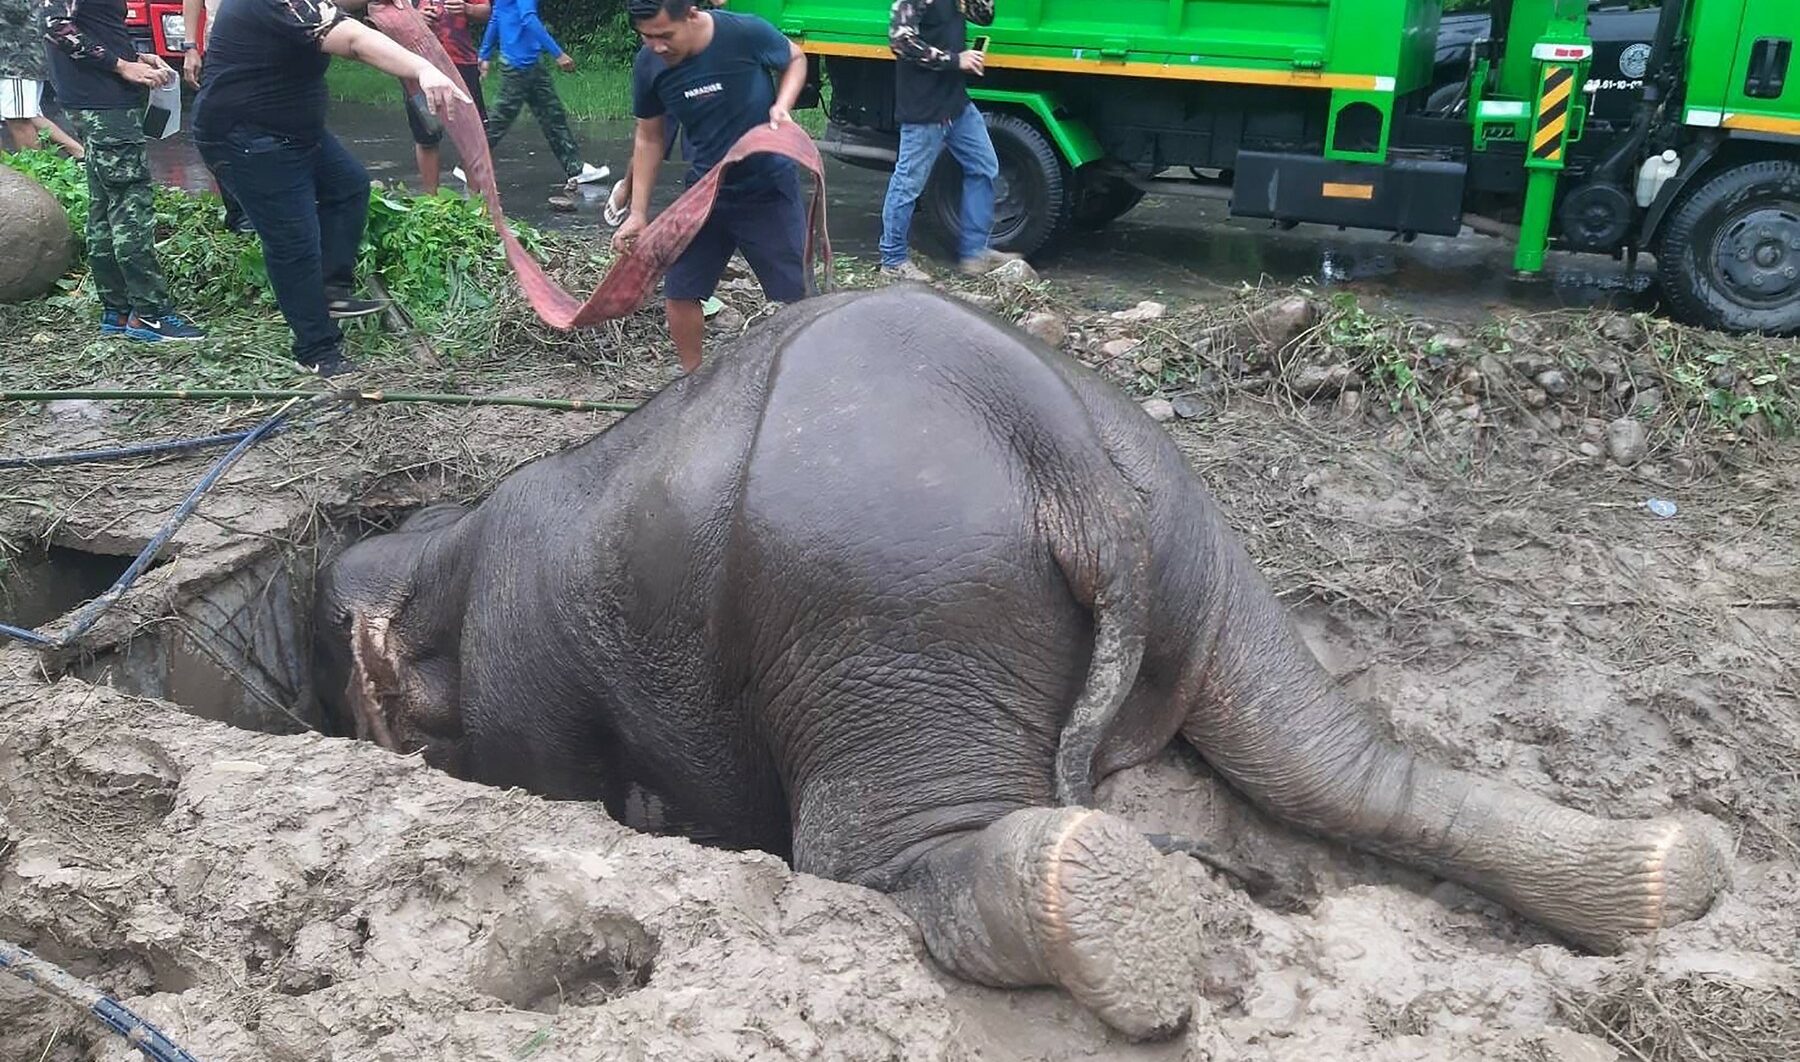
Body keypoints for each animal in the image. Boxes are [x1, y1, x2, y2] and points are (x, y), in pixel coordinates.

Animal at [314, 284, 1729, 1040]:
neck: (438, 546)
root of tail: (1060, 455)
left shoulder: (521, 687)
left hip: (891, 608)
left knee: (887, 850)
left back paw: (1108, 910)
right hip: (1190, 547)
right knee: (1332, 763)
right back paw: (1679, 874)